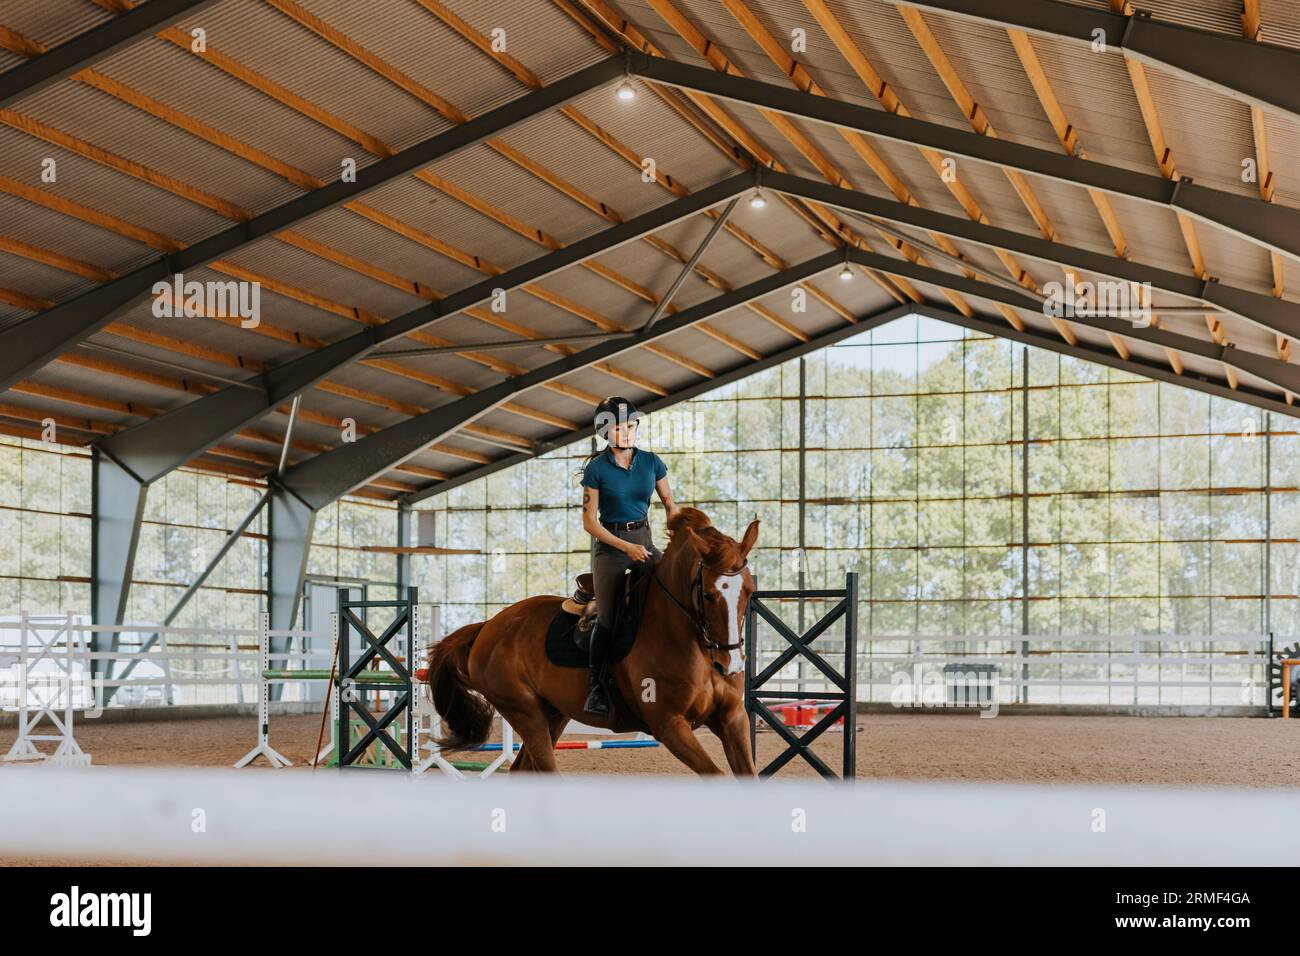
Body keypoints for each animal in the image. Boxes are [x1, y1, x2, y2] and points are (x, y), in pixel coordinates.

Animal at [423, 507, 759, 775]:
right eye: (709, 595)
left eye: (749, 591)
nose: (729, 663)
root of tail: (488, 627)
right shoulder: (670, 725)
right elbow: (717, 776)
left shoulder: (732, 718)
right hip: (524, 713)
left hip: (554, 714)